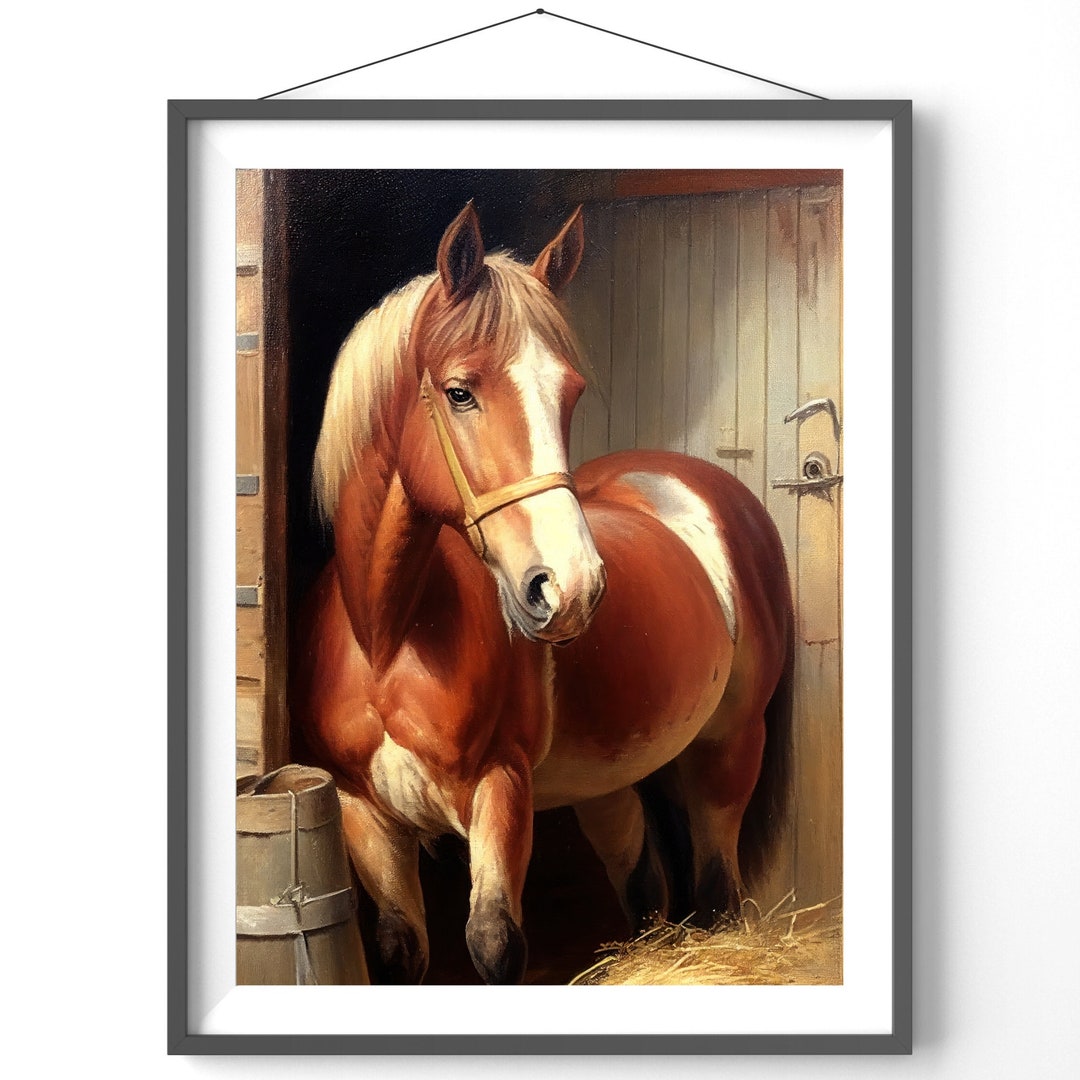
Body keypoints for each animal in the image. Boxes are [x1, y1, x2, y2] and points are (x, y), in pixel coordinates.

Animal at [290, 202, 794, 985]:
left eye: (571, 392)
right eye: (460, 392)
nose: (572, 588)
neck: (387, 638)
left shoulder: (502, 790)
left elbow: (495, 943)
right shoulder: (362, 814)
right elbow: (402, 949)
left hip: (729, 748)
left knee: (717, 893)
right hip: (615, 779)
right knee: (645, 894)